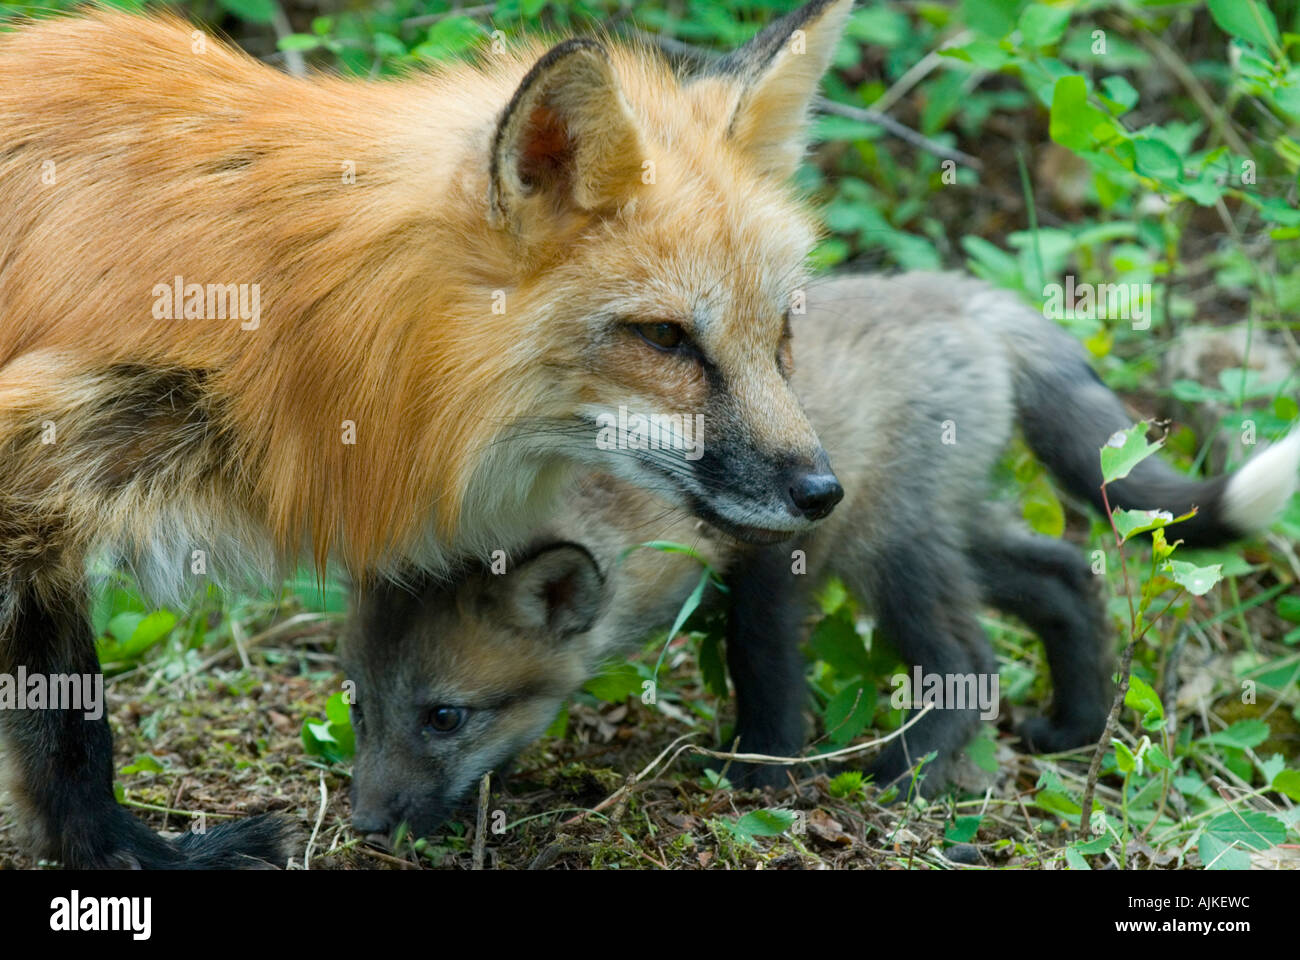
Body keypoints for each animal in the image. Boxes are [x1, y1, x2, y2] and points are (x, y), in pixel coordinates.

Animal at [0, 1, 857, 868]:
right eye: (664, 337)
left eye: (782, 330)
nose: (823, 492)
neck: (274, 305)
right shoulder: (39, 463)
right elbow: (68, 727)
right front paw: (123, 854)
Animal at [342, 271, 1300, 840]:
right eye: (360, 710)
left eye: (443, 717)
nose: (363, 825)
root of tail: (965, 293)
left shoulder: (774, 540)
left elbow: (760, 660)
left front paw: (758, 769)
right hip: (946, 528)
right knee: (1063, 581)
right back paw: (1074, 727)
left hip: (888, 547)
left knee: (969, 657)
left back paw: (910, 774)